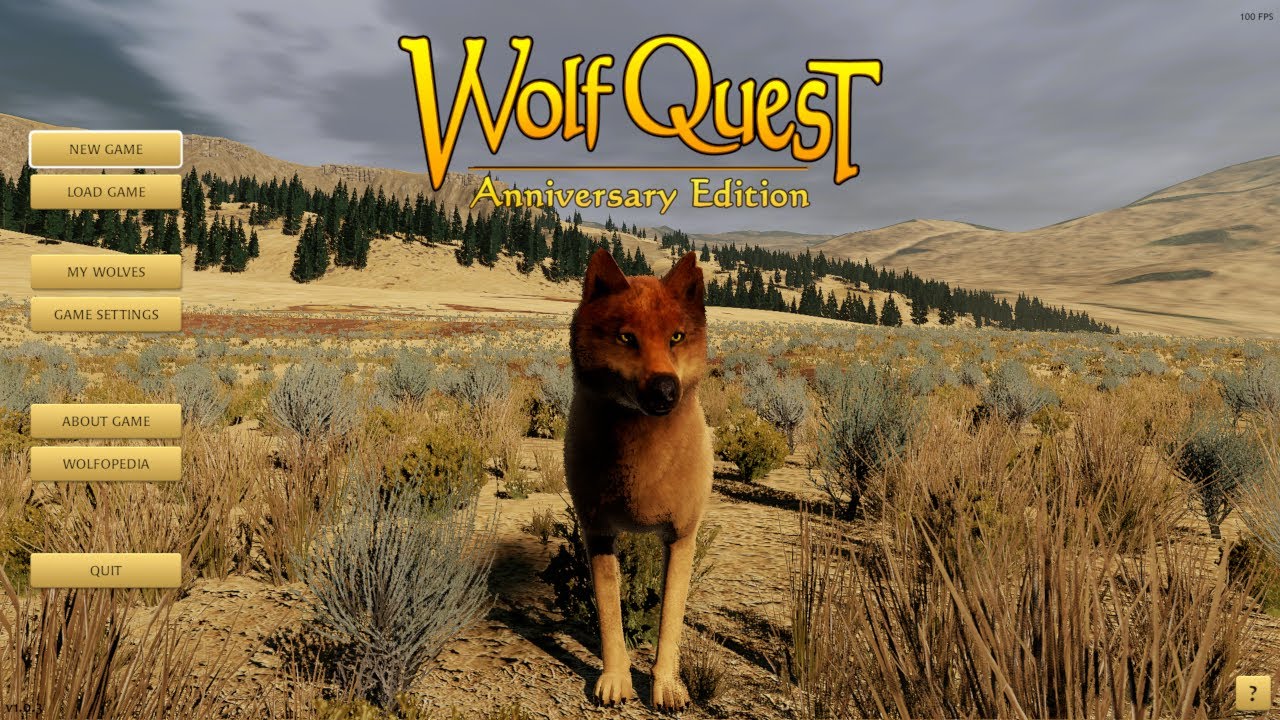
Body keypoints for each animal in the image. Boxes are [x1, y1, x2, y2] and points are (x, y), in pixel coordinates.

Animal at [564, 248, 713, 710]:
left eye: (677, 337)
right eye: (627, 338)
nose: (666, 390)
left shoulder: (681, 537)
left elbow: (670, 620)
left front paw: (665, 686)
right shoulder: (597, 532)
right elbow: (610, 616)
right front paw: (616, 680)